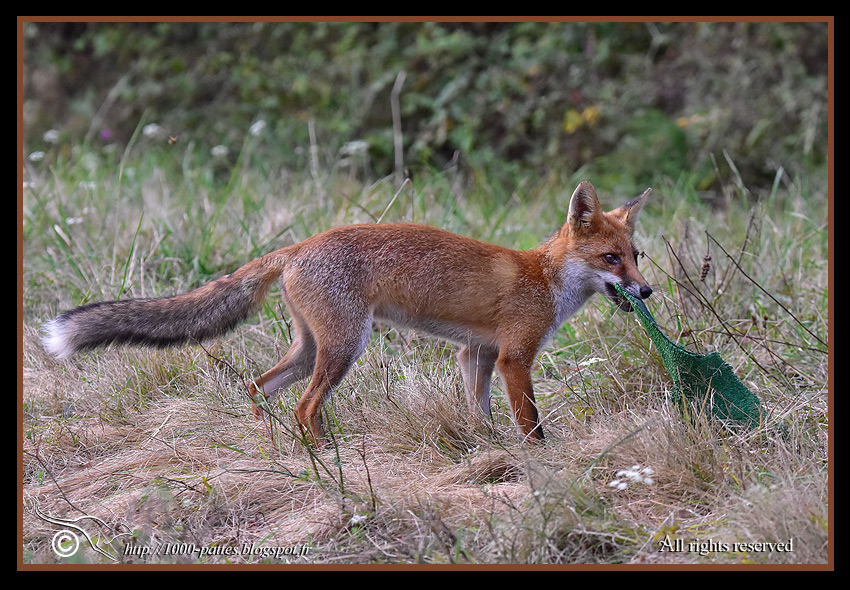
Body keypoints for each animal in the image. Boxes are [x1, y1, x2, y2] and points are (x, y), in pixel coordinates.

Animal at [42, 181, 652, 443]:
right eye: (610, 258)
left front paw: (488, 451)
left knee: (259, 388)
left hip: (312, 346)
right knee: (304, 406)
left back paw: (279, 448)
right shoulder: (514, 358)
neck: (545, 279)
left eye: (637, 256)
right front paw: (537, 462)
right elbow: (532, 424)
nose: (646, 292)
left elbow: (479, 413)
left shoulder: (475, 354)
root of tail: (298, 246)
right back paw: (325, 458)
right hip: (344, 346)